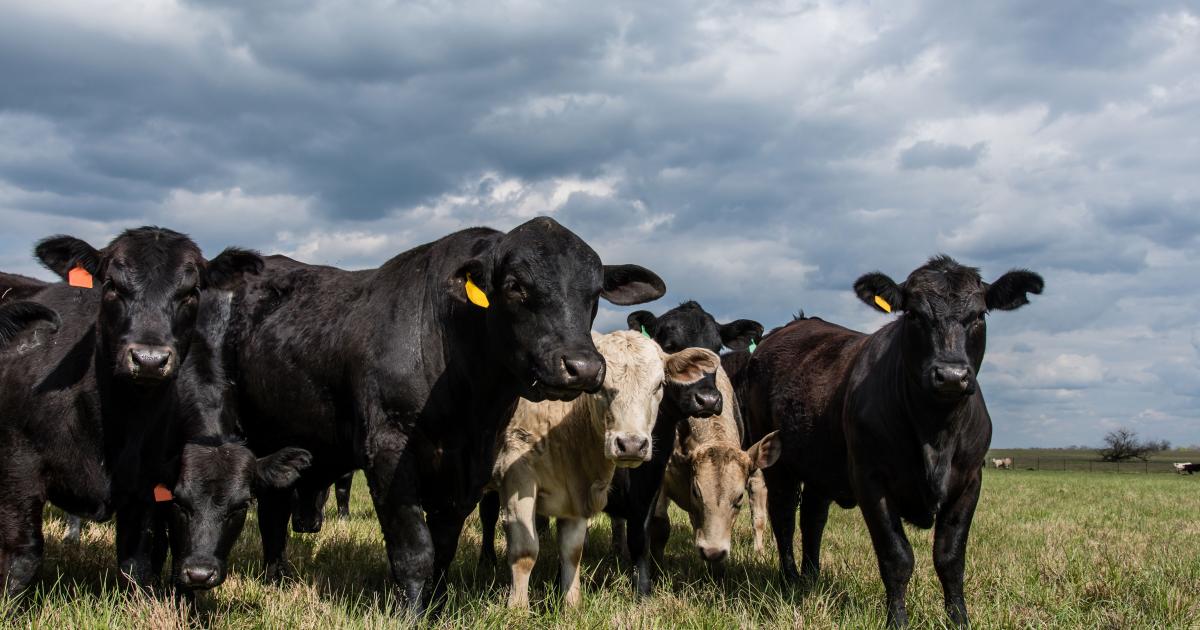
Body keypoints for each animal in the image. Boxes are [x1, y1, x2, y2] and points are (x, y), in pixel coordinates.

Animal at [0, 227, 263, 594]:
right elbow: (22, 558)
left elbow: (137, 563)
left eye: (191, 291)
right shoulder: (18, 466)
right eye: (112, 285)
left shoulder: (146, 486)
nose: (150, 359)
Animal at [224, 217, 665, 613]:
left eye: (594, 293)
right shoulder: (388, 453)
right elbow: (415, 548)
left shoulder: (471, 465)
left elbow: (444, 545)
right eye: (515, 286)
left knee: (274, 510)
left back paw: (278, 578)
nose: (583, 367)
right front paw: (412, 611)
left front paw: (436, 604)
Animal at [491, 331, 718, 607]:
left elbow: (572, 552)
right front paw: (517, 609)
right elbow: (525, 551)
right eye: (599, 385)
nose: (631, 444)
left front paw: (571, 606)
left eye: (659, 386)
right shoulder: (517, 476)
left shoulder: (579, 492)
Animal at [742, 255, 1043, 627]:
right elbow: (897, 556)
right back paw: (791, 578)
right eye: (913, 314)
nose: (951, 376)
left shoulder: (970, 481)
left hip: (820, 465)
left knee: (813, 517)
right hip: (777, 459)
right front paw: (897, 619)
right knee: (782, 514)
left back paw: (812, 577)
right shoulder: (870, 480)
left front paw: (959, 618)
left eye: (979, 315)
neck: (935, 432)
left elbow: (950, 557)